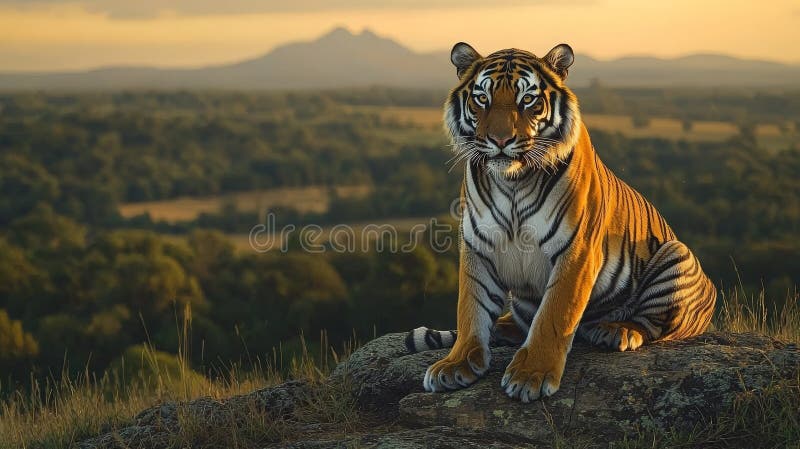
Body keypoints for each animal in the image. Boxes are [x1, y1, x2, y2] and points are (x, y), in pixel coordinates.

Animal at [405, 42, 717, 402]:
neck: (512, 182)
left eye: (528, 100)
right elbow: (471, 308)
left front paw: (531, 375)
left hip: (674, 254)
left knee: (655, 325)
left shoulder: (576, 251)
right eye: (482, 98)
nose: (500, 140)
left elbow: (554, 315)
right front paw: (455, 364)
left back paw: (616, 331)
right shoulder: (478, 247)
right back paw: (502, 329)